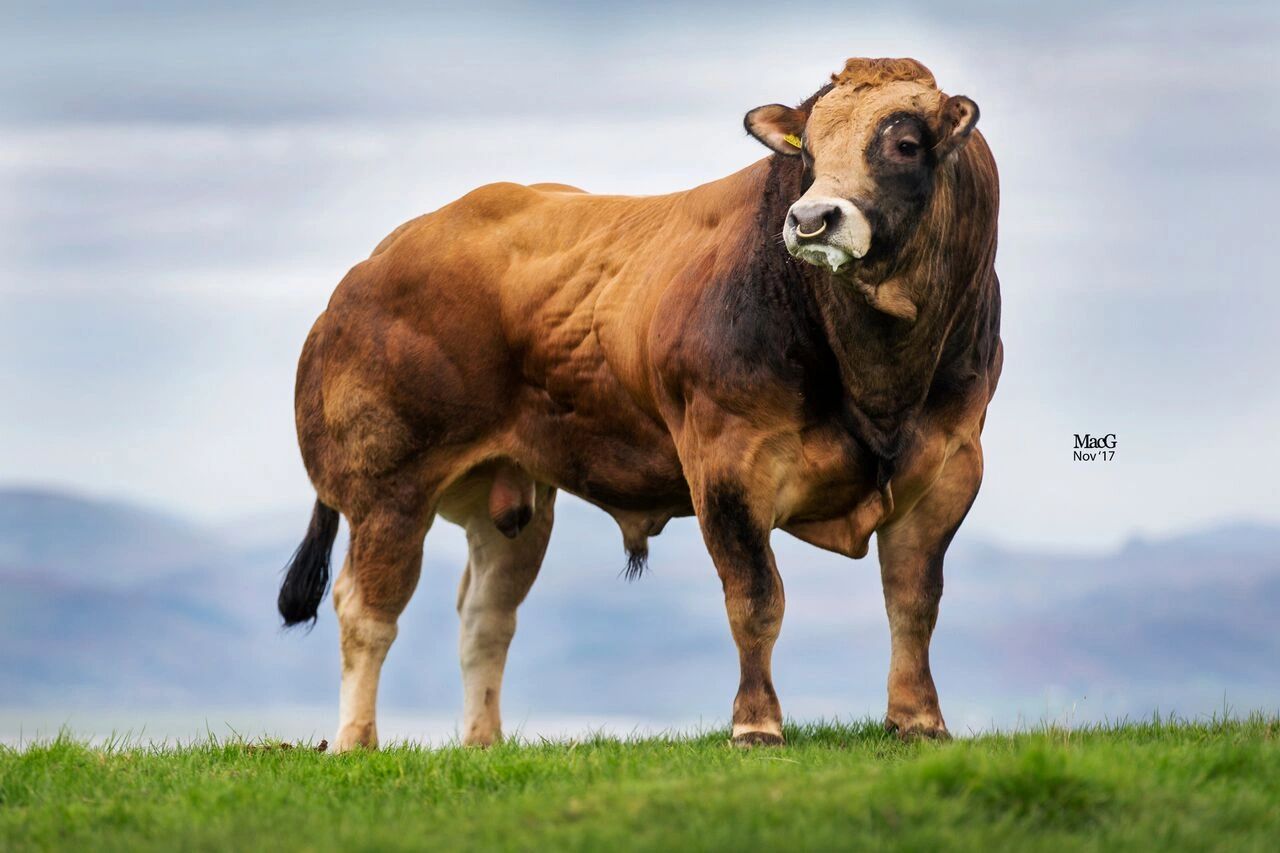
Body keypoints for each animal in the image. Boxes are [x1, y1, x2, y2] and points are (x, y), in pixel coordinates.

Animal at [279, 56, 1002, 751]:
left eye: (904, 143)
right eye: (810, 153)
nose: (810, 220)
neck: (881, 376)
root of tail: (372, 267)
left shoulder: (952, 464)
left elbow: (913, 599)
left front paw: (919, 720)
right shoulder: (726, 465)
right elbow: (755, 599)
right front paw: (756, 725)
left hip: (509, 502)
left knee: (485, 617)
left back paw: (484, 742)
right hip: (390, 490)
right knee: (367, 610)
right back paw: (355, 741)